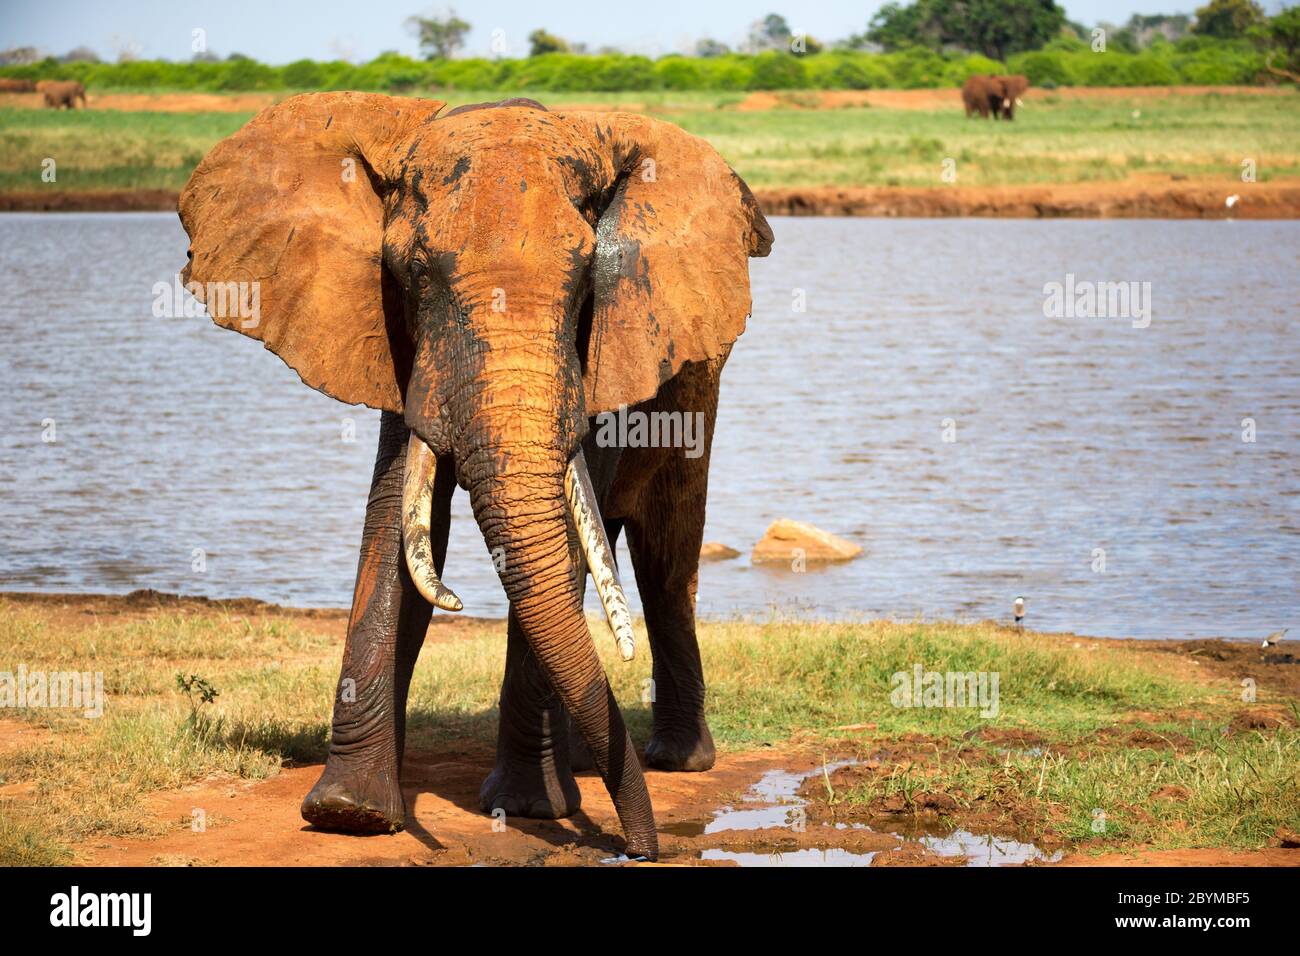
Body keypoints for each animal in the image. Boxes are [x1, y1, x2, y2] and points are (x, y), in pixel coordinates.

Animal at [178, 92, 773, 861]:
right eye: (414, 270)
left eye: (589, 276)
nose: (639, 848)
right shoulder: (401, 347)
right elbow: (397, 522)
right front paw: (349, 813)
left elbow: (559, 535)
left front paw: (528, 807)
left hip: (697, 389)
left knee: (665, 560)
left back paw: (676, 759)